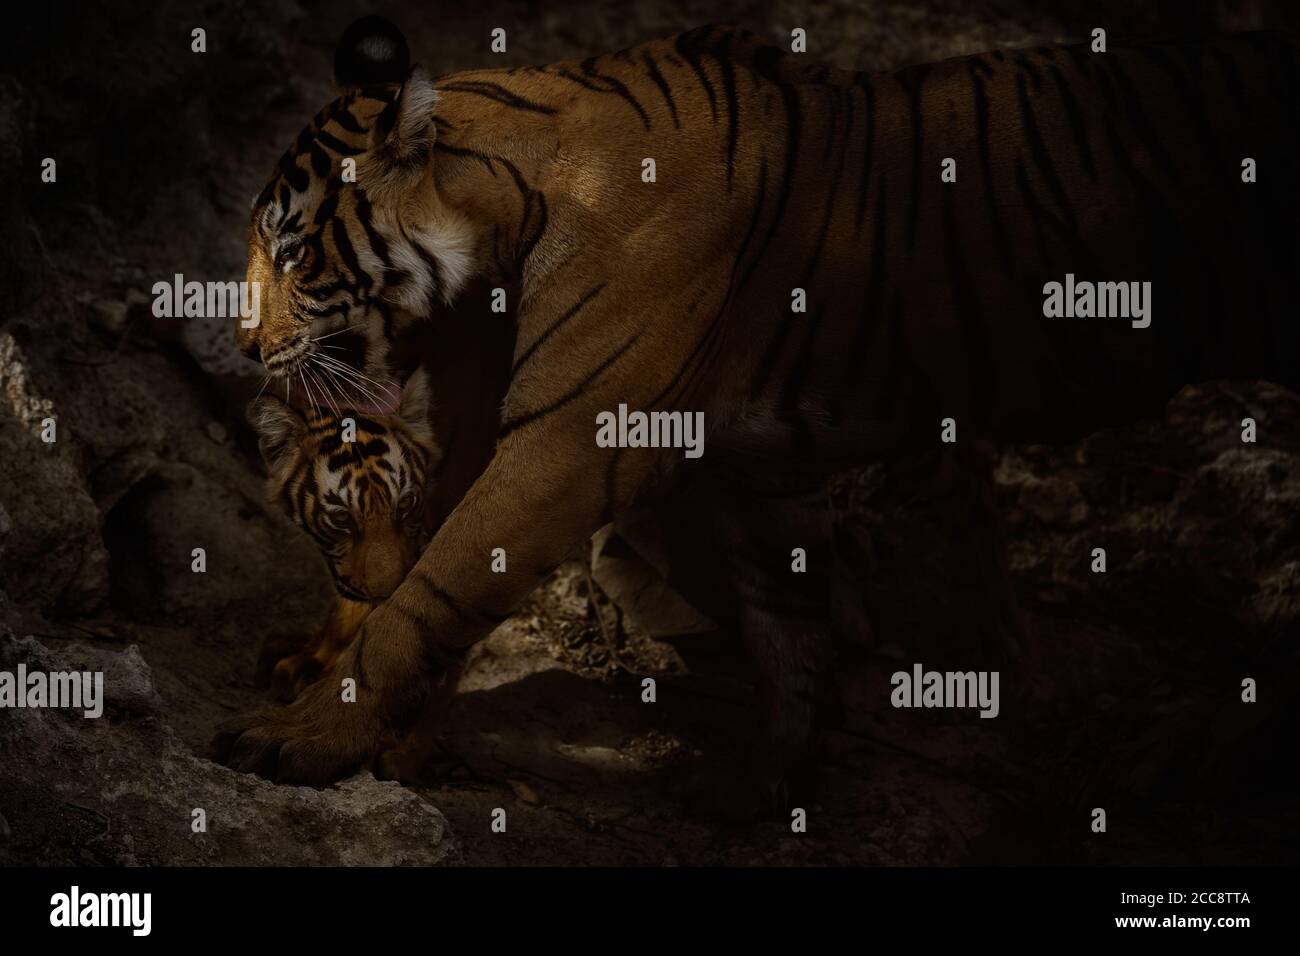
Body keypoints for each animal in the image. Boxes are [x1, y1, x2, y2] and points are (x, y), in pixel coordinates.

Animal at [216, 16, 1300, 811]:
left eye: (295, 251)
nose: (242, 345)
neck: (505, 211)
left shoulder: (571, 440)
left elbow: (426, 593)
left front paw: (304, 735)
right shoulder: (736, 457)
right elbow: (790, 619)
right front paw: (759, 783)